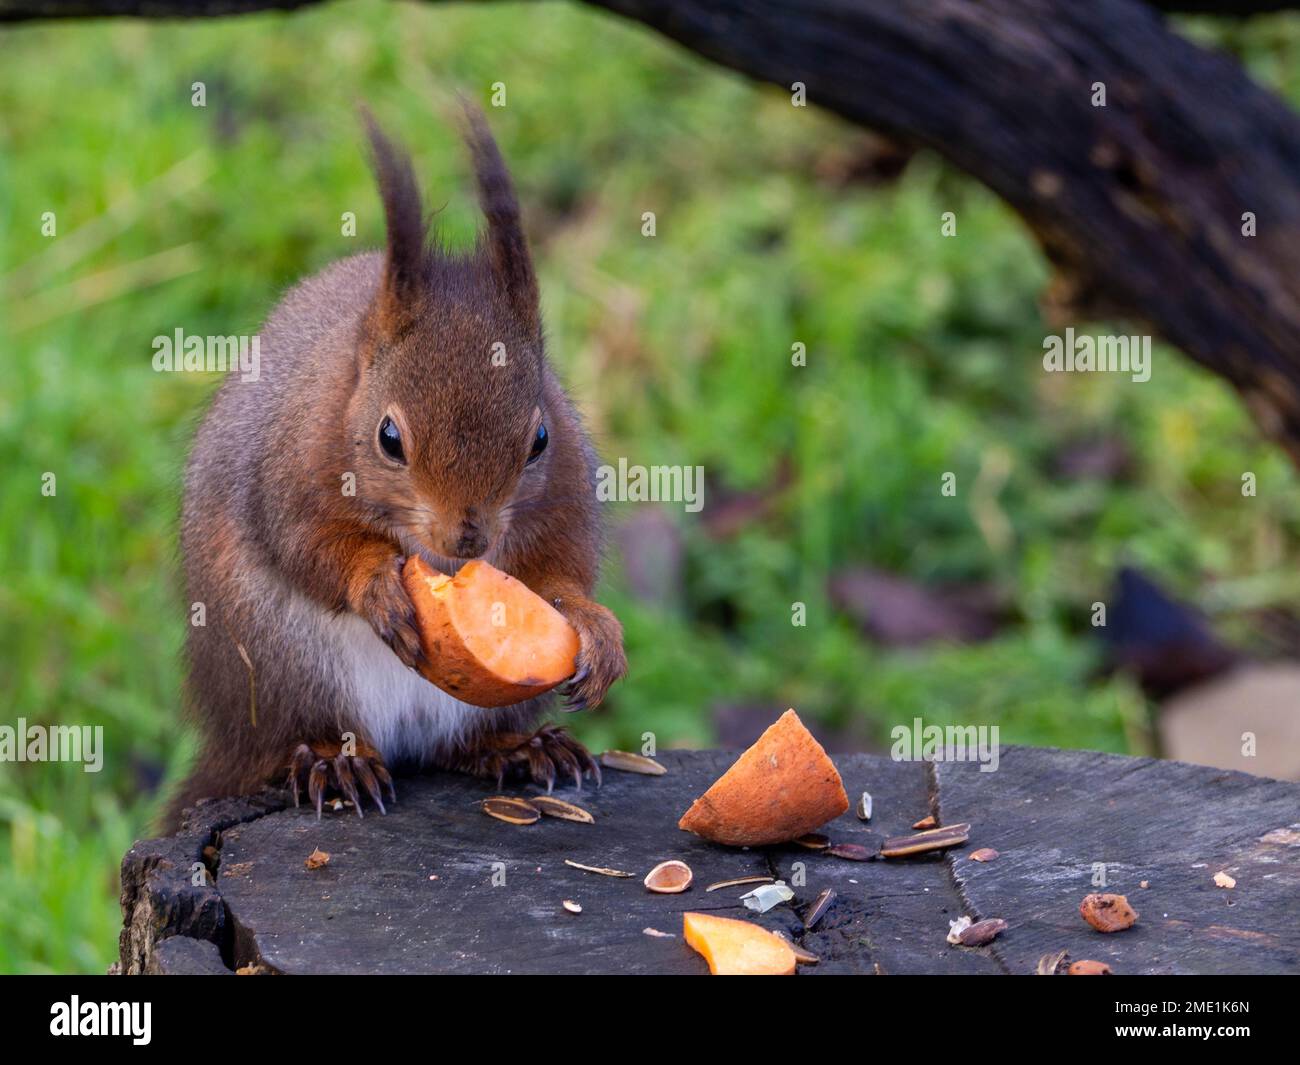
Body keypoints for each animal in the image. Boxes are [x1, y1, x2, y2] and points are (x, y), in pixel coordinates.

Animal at [166, 106, 626, 828]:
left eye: (540, 439)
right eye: (389, 437)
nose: (468, 538)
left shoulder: (566, 496)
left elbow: (561, 568)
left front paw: (596, 628)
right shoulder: (287, 474)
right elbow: (307, 547)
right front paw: (375, 584)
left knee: (459, 745)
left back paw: (521, 747)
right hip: (286, 662)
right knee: (306, 731)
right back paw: (335, 763)